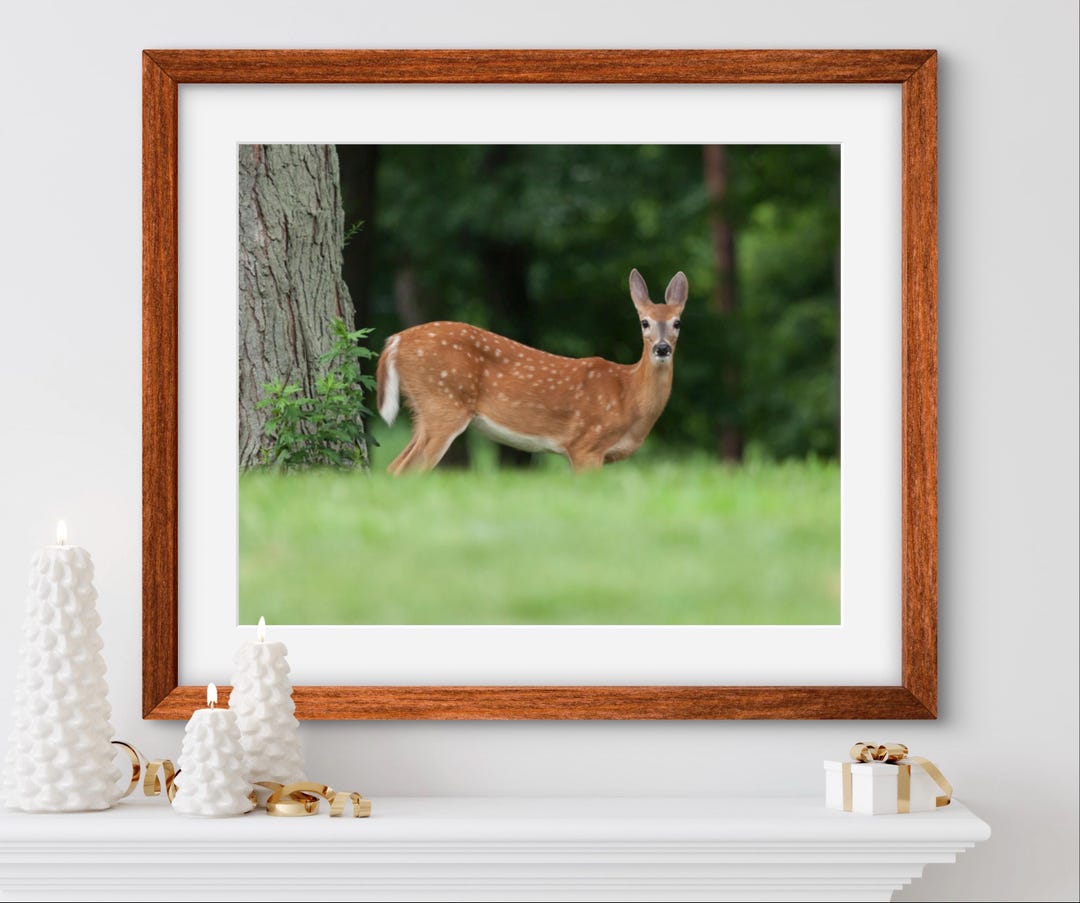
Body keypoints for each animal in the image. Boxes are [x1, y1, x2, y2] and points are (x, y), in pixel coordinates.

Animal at [375, 268, 688, 474]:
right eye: (644, 322)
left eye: (677, 322)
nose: (662, 348)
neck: (628, 394)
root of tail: (395, 341)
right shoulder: (586, 444)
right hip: (443, 403)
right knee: (405, 469)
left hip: (425, 411)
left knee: (393, 467)